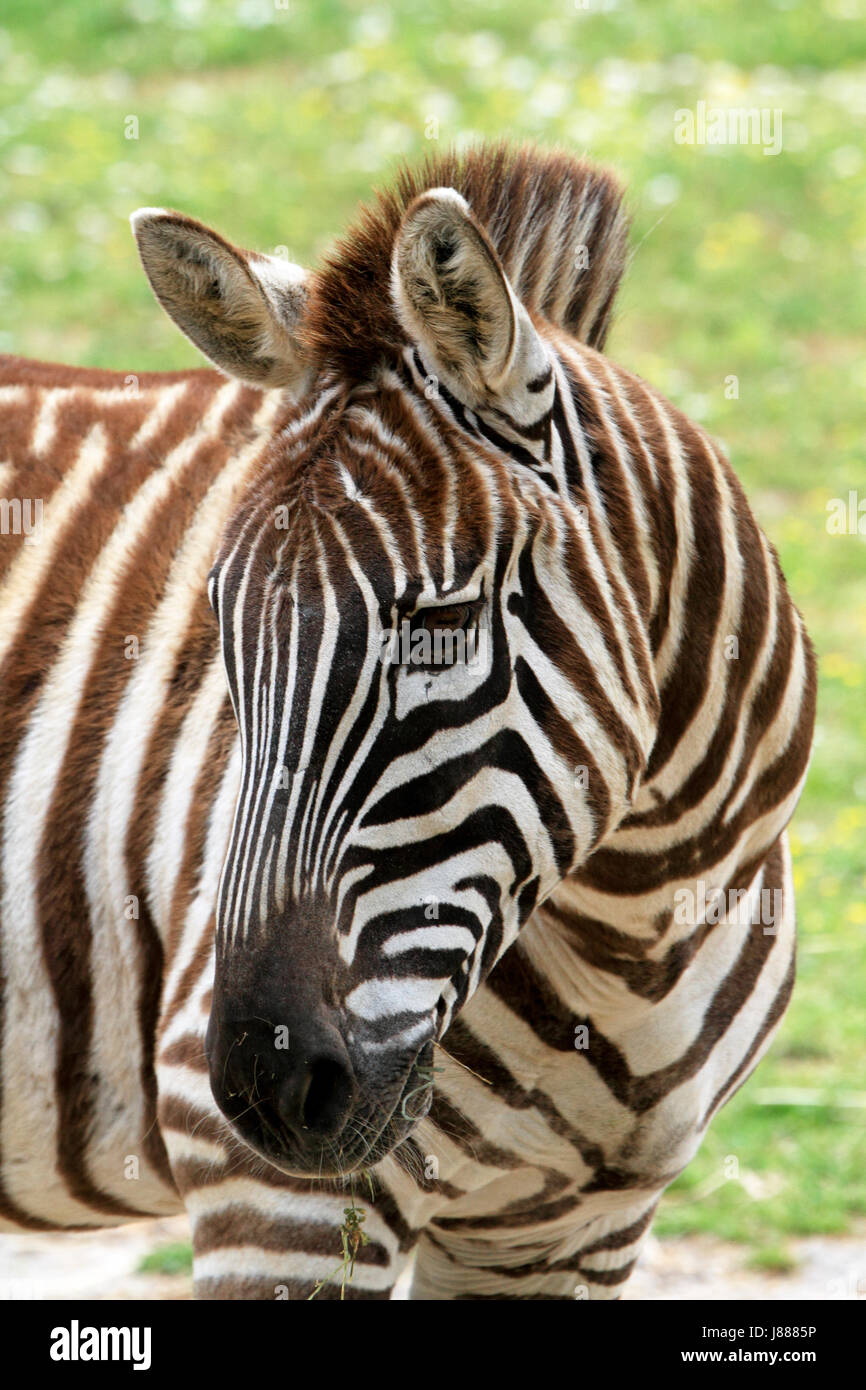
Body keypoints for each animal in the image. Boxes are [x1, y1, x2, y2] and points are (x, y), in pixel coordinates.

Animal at [0, 143, 816, 1300]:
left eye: (442, 623)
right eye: (222, 620)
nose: (267, 1087)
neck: (635, 937)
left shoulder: (575, 1231)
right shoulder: (274, 1207)